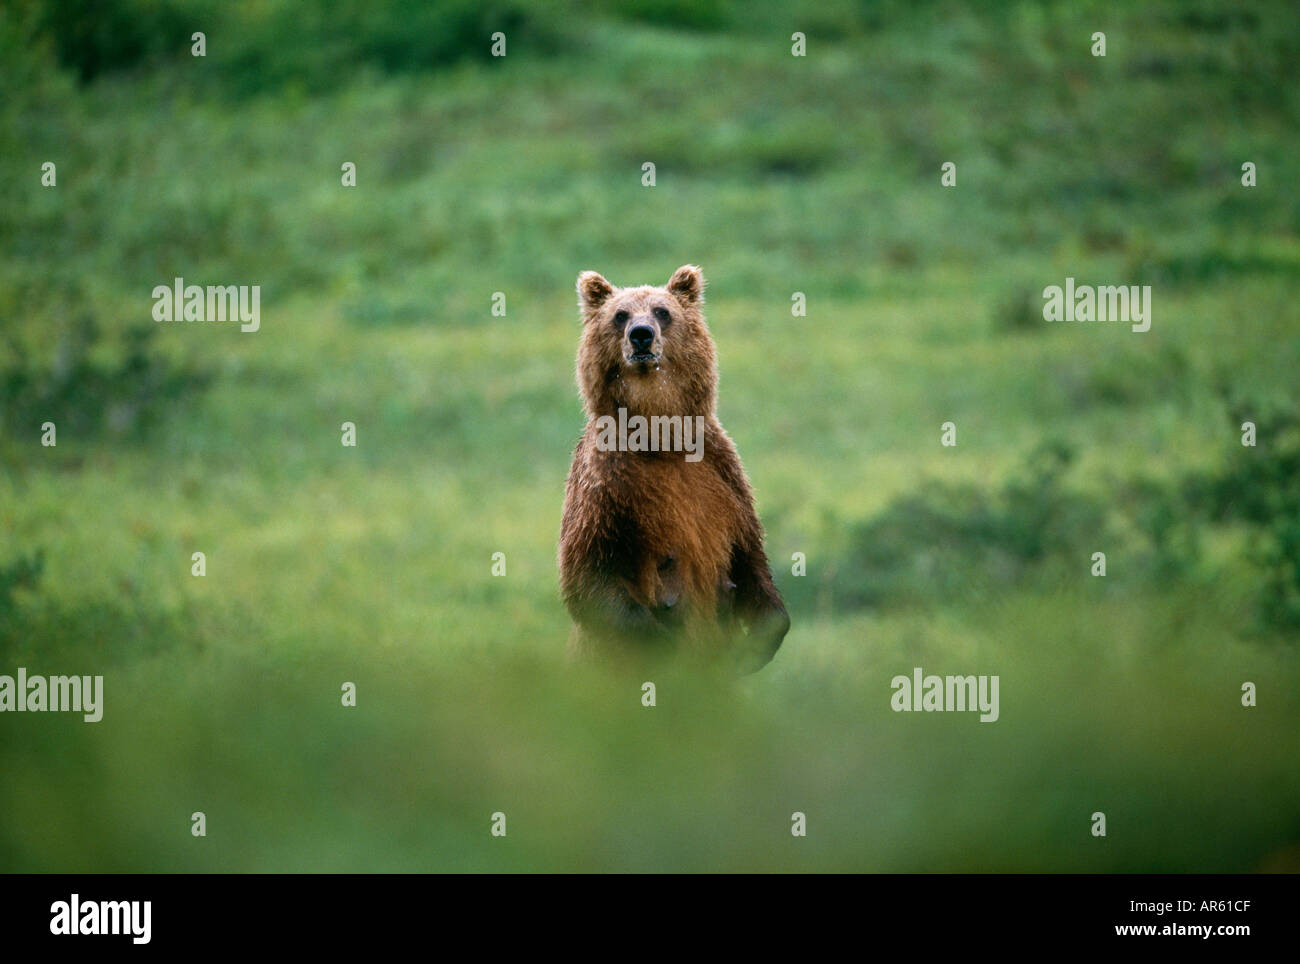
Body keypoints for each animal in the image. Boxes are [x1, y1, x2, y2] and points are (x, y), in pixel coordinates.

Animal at [558, 264, 789, 674]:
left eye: (662, 311)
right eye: (620, 315)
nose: (641, 334)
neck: (660, 438)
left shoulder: (722, 472)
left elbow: (750, 558)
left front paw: (752, 646)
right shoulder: (605, 484)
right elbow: (588, 573)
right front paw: (670, 642)